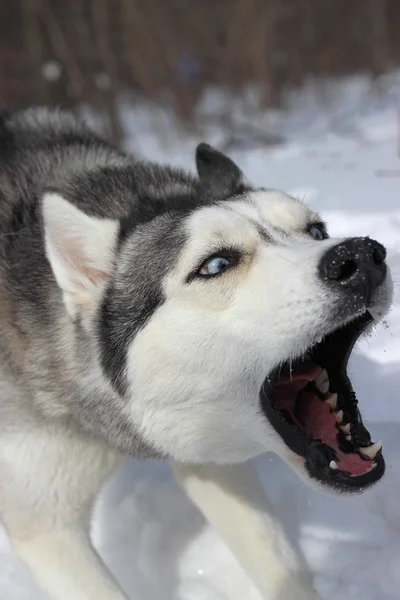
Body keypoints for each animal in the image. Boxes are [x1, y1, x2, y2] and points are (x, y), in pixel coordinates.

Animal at [0, 108, 394, 600]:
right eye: (216, 265)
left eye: (316, 231)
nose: (360, 258)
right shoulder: (46, 526)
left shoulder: (206, 454)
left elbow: (279, 564)